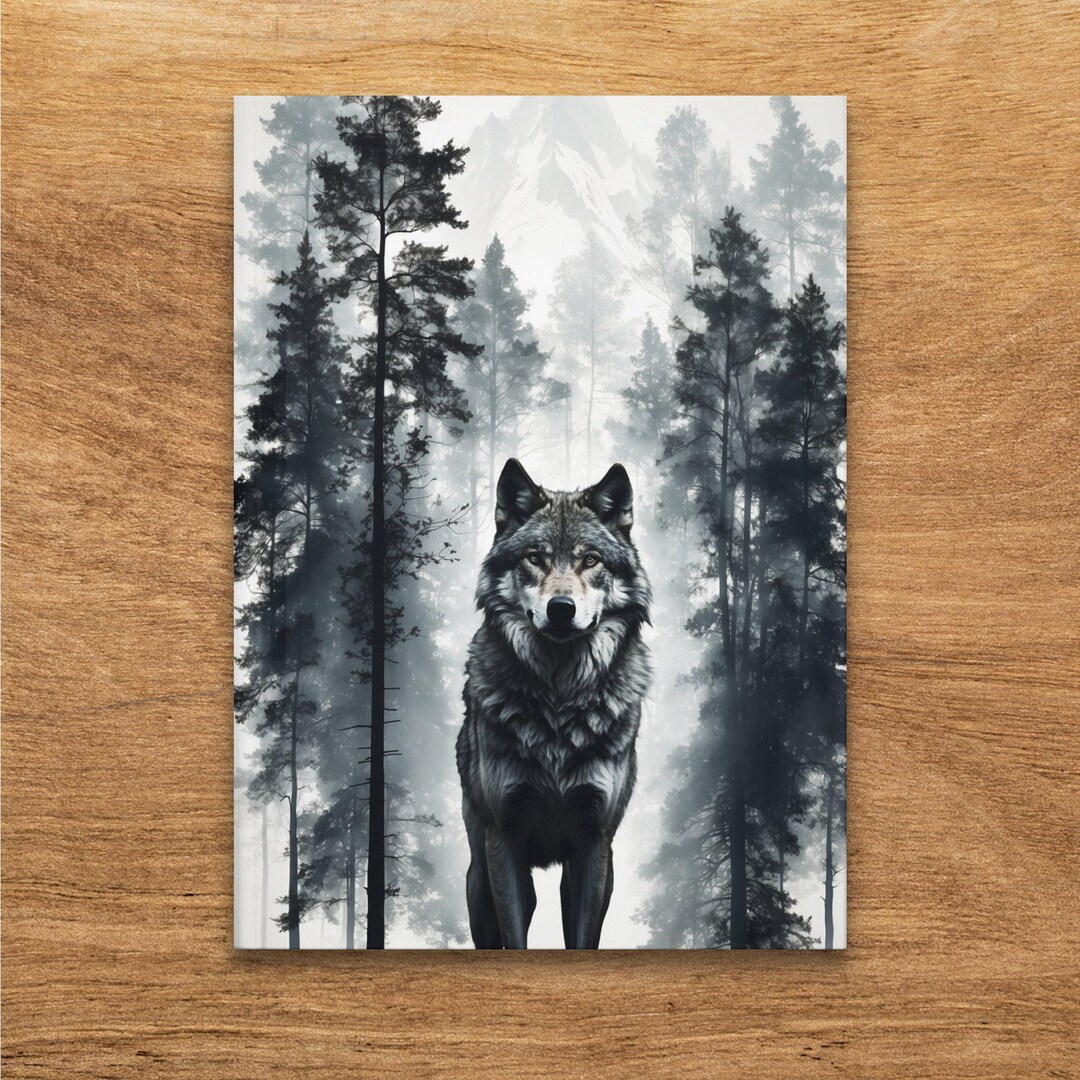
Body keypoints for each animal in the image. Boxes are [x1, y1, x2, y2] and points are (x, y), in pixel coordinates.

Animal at [456, 458, 652, 949]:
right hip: (478, 879)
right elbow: (515, 939)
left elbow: (583, 938)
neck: (559, 702)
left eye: (590, 559)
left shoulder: (594, 843)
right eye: (535, 557)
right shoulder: (503, 839)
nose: (561, 608)